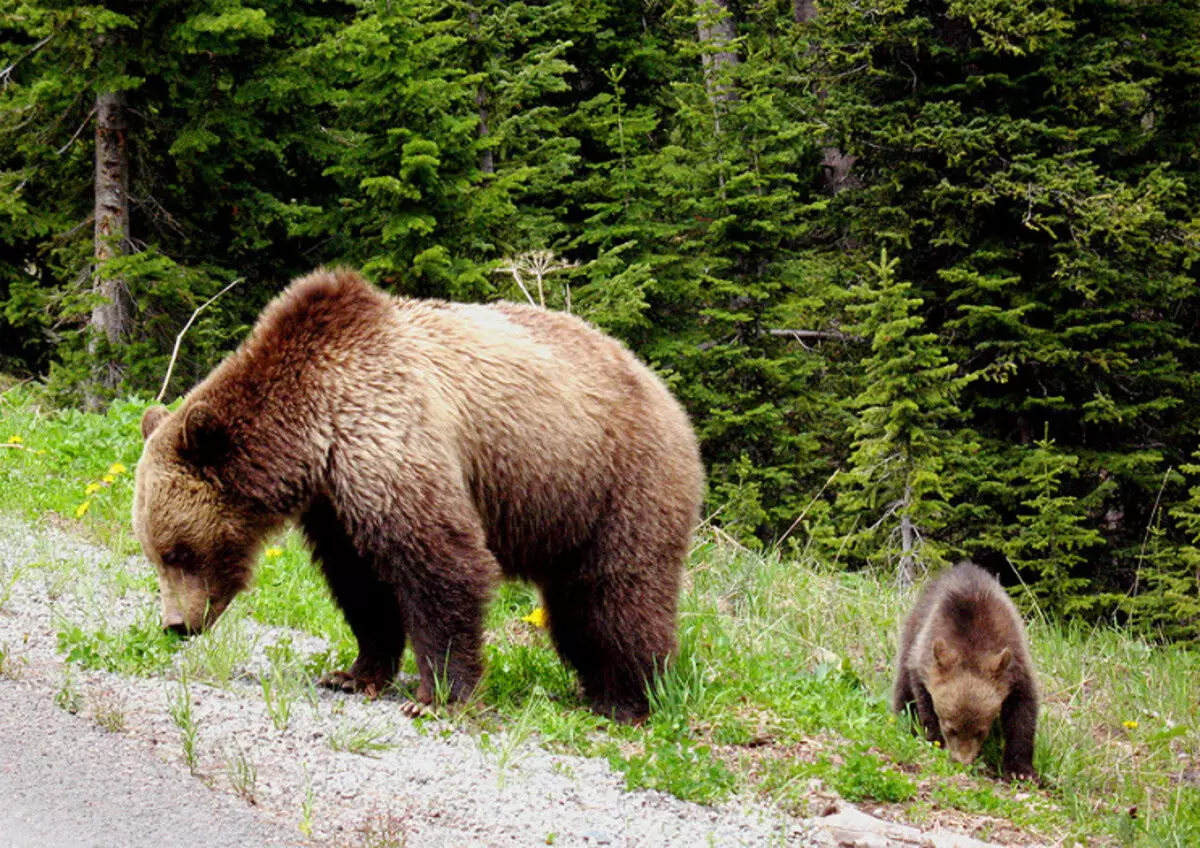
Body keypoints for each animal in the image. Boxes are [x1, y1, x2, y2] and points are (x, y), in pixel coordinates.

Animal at [133, 268, 700, 719]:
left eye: (178, 552)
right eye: (154, 554)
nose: (175, 625)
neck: (313, 432)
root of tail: (664, 391)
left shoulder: (387, 436)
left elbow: (439, 562)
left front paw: (437, 696)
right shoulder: (335, 502)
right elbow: (361, 582)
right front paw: (353, 672)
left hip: (620, 477)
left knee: (618, 591)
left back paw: (629, 698)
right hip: (571, 506)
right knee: (575, 604)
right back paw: (598, 686)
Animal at [892, 563, 1041, 782]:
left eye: (980, 732)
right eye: (950, 728)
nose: (962, 762)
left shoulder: (1015, 663)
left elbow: (1022, 713)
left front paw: (1021, 770)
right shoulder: (925, 658)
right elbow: (923, 700)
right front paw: (933, 739)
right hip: (912, 633)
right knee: (903, 686)